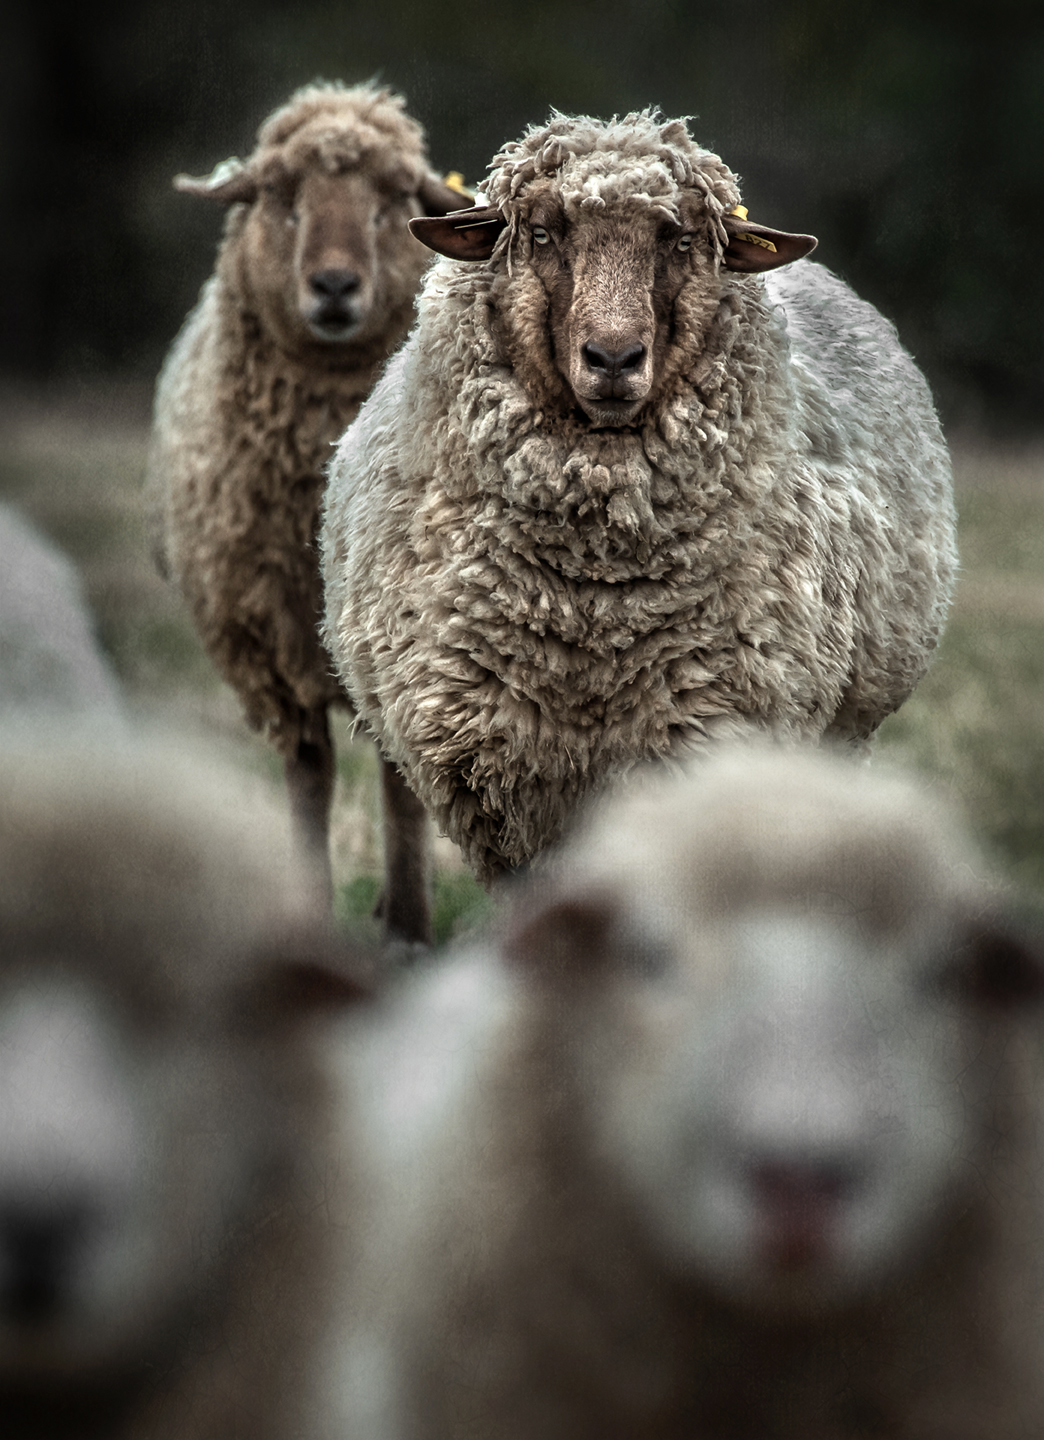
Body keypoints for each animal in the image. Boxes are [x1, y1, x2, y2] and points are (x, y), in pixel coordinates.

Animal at [145, 81, 468, 930]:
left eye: (393, 199)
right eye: (280, 195)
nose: (333, 287)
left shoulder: (401, 637)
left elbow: (398, 785)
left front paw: (410, 924)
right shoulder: (265, 643)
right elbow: (310, 773)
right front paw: (312, 911)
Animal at [321, 109, 958, 888]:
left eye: (680, 240)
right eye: (541, 232)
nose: (615, 359)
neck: (589, 598)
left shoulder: (697, 739)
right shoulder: (498, 776)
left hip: (839, 733)